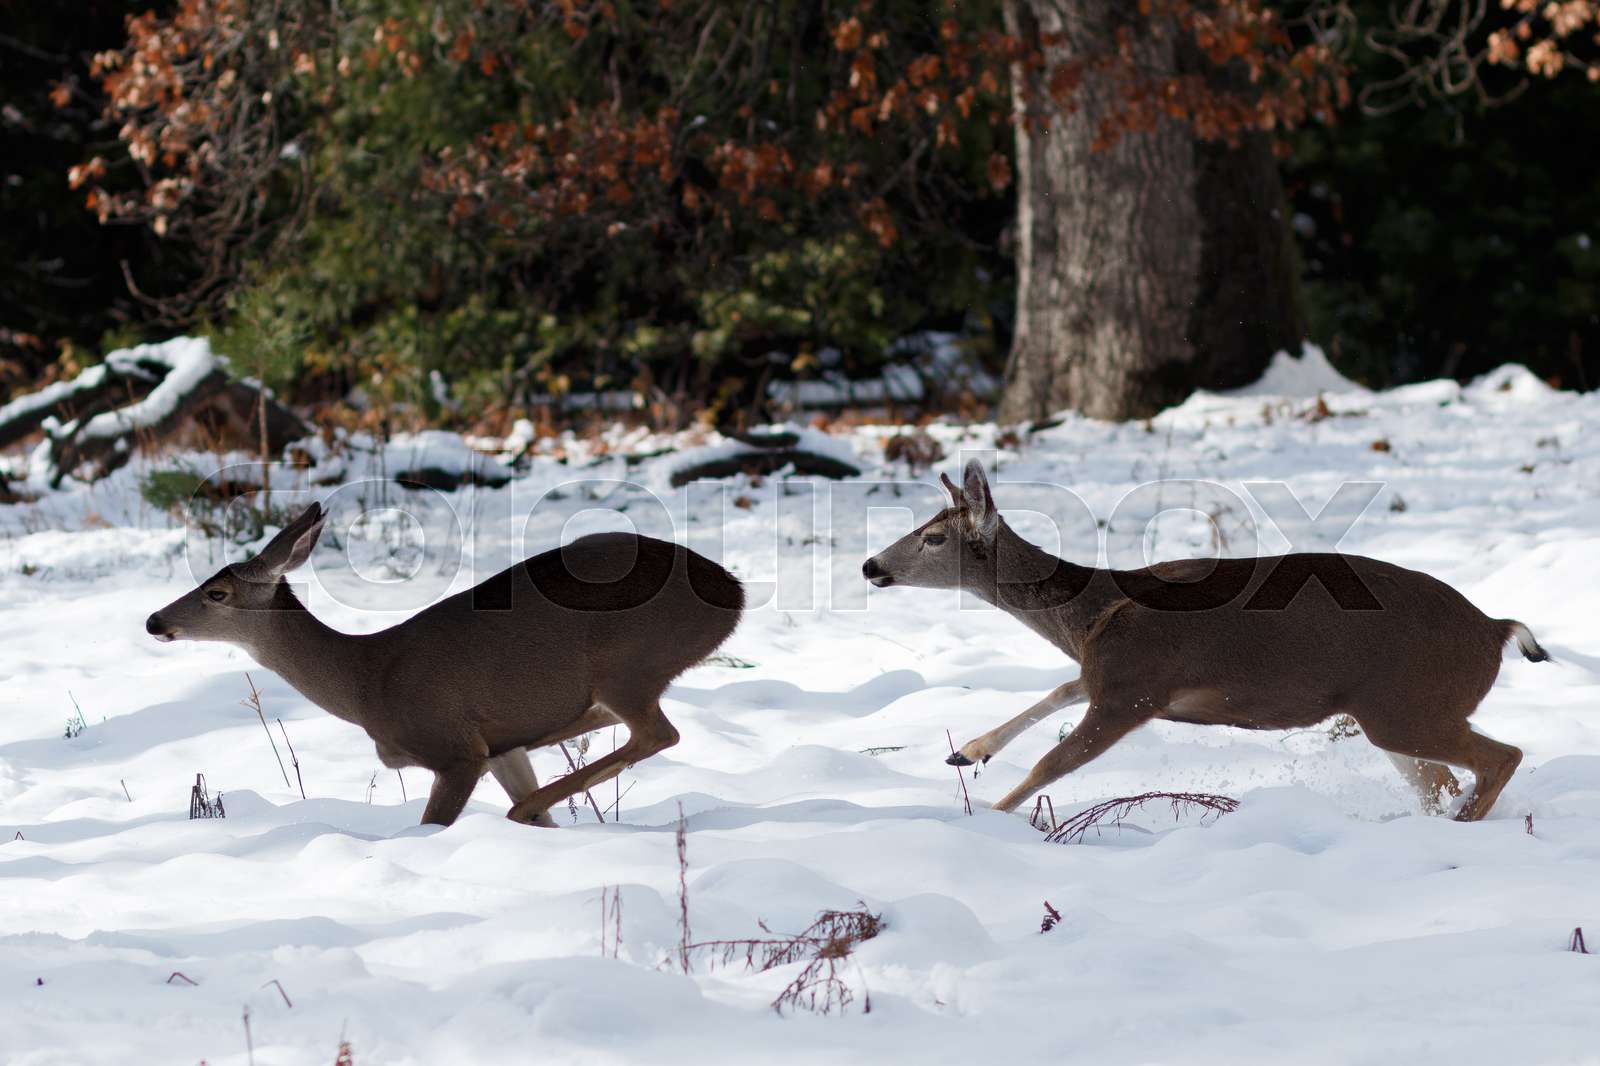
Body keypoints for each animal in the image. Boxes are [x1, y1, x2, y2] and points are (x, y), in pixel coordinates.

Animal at [146, 503, 744, 827]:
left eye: (217, 593)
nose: (154, 621)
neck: (366, 683)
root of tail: (733, 592)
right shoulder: (500, 746)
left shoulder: (454, 747)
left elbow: (432, 823)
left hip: (630, 664)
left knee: (658, 732)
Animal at [862, 460, 1548, 822]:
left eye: (933, 538)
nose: (871, 565)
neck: (1093, 612)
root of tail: (1494, 631)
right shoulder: (1111, 677)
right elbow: (1059, 690)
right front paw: (966, 751)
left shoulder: (1135, 689)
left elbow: (1051, 762)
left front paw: (984, 817)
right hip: (1391, 712)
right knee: (1445, 779)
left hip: (1407, 703)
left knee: (1503, 757)